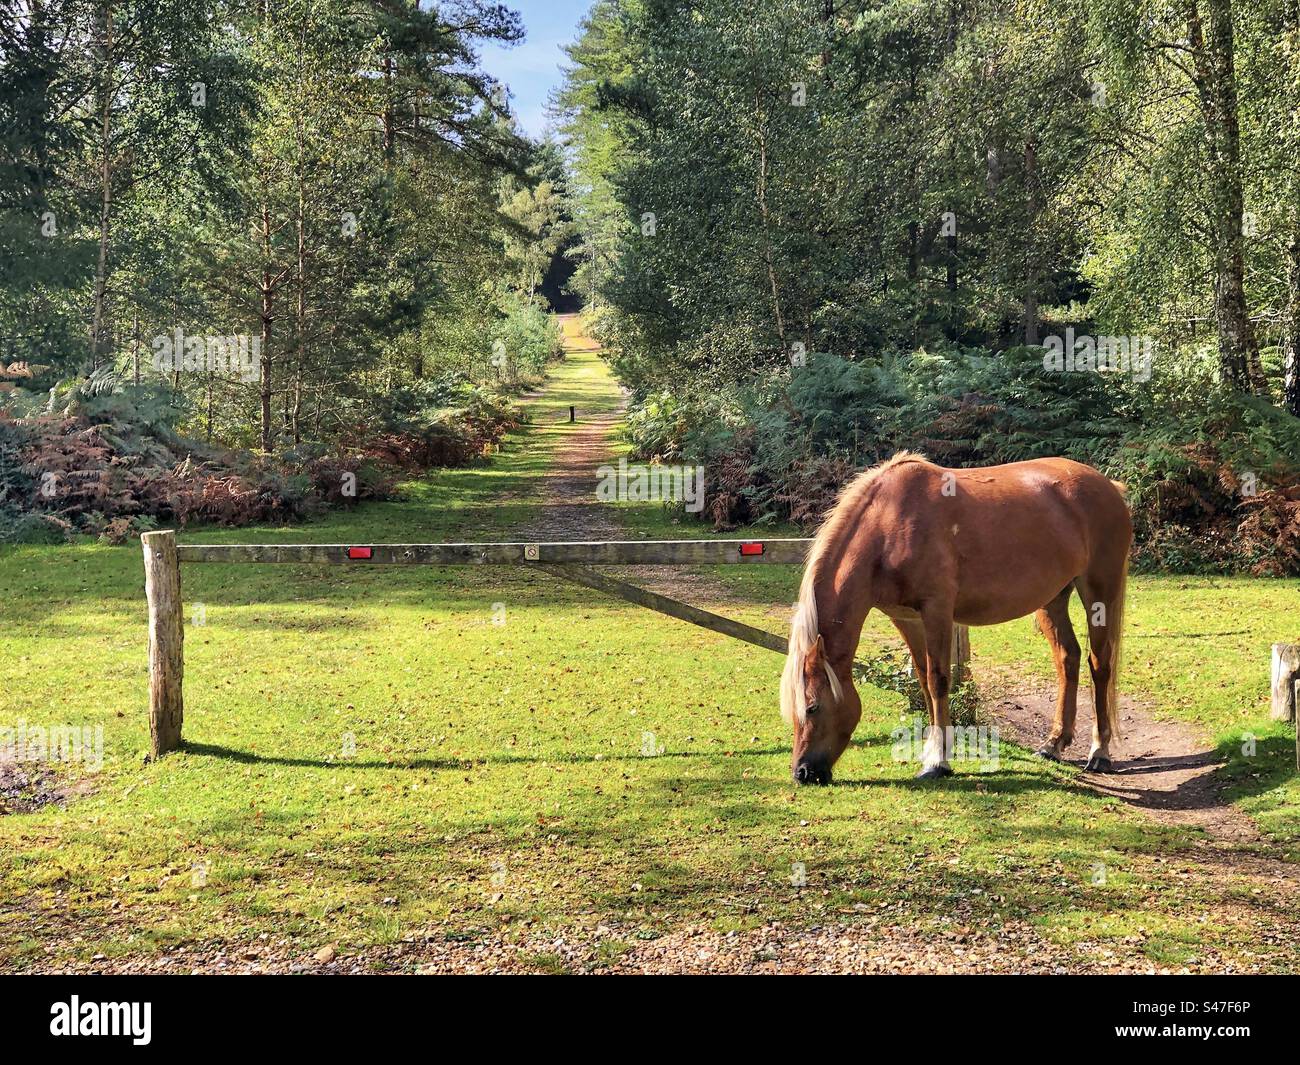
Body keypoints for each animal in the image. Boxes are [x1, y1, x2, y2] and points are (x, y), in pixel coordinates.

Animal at [780, 452, 1132, 783]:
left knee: (1099, 664)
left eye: (812, 706)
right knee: (1067, 657)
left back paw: (1100, 752)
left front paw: (937, 760)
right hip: (1052, 599)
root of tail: (1109, 486)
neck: (889, 524)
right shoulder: (906, 618)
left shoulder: (937, 611)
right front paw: (931, 750)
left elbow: (938, 679)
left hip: (1099, 593)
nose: (803, 772)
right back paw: (1053, 744)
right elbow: (923, 679)